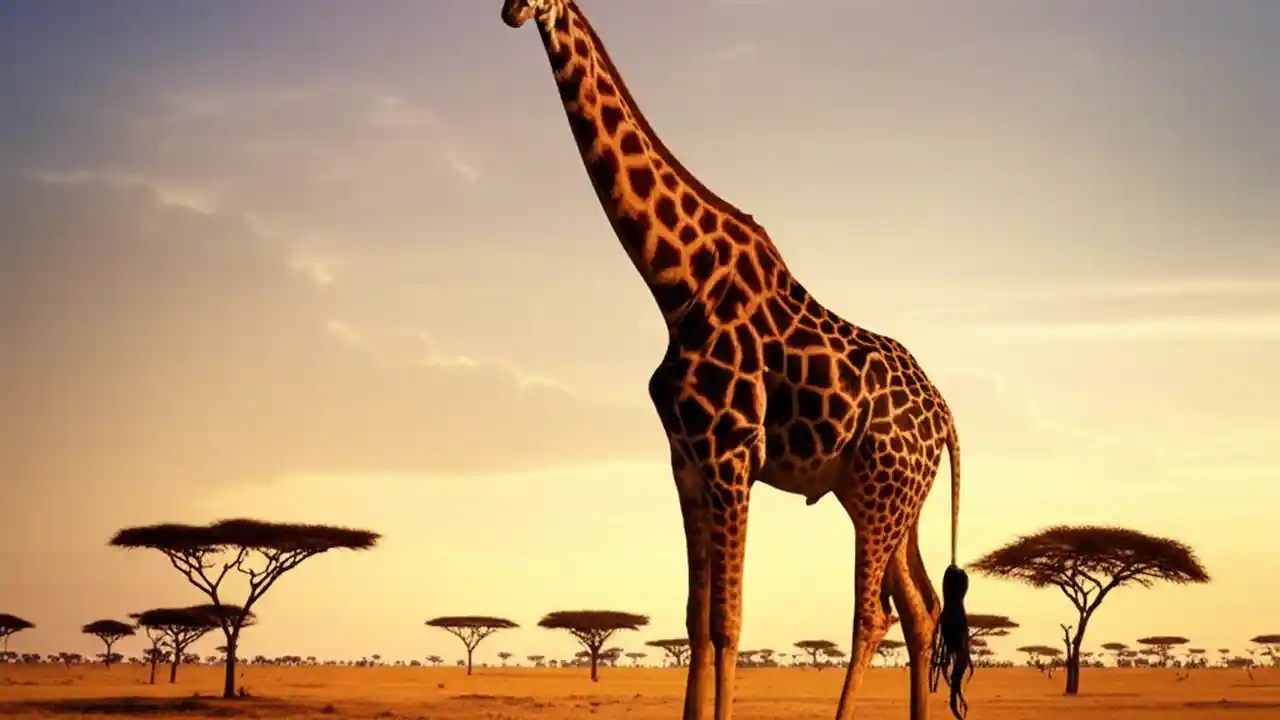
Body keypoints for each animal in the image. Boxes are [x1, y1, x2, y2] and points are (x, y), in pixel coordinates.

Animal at [499, 2, 971, 718]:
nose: (512, 13)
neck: (677, 284)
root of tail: (944, 416)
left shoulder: (731, 456)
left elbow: (729, 621)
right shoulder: (686, 461)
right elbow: (697, 620)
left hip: (882, 493)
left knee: (874, 615)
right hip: (885, 494)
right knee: (921, 609)